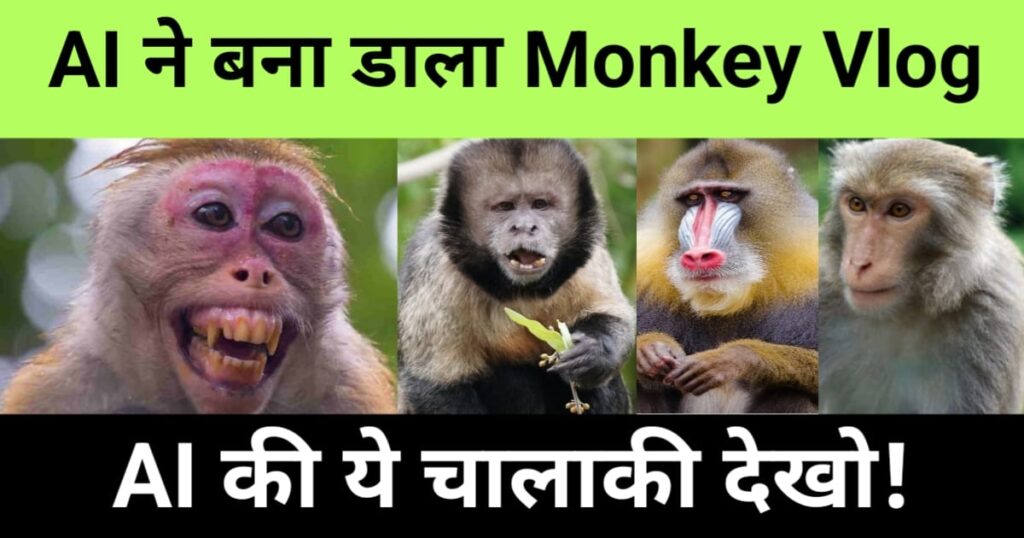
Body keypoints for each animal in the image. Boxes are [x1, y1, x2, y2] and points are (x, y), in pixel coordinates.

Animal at [398, 139, 634, 414]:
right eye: (505, 207)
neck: (520, 290)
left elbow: (618, 317)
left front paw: (596, 353)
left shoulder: (588, 255)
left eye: (540, 204)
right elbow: (436, 384)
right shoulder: (436, 267)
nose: (524, 226)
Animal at [635, 139, 819, 413]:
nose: (698, 256)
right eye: (693, 199)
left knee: (790, 393)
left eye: (726, 195)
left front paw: (728, 359)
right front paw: (650, 350)